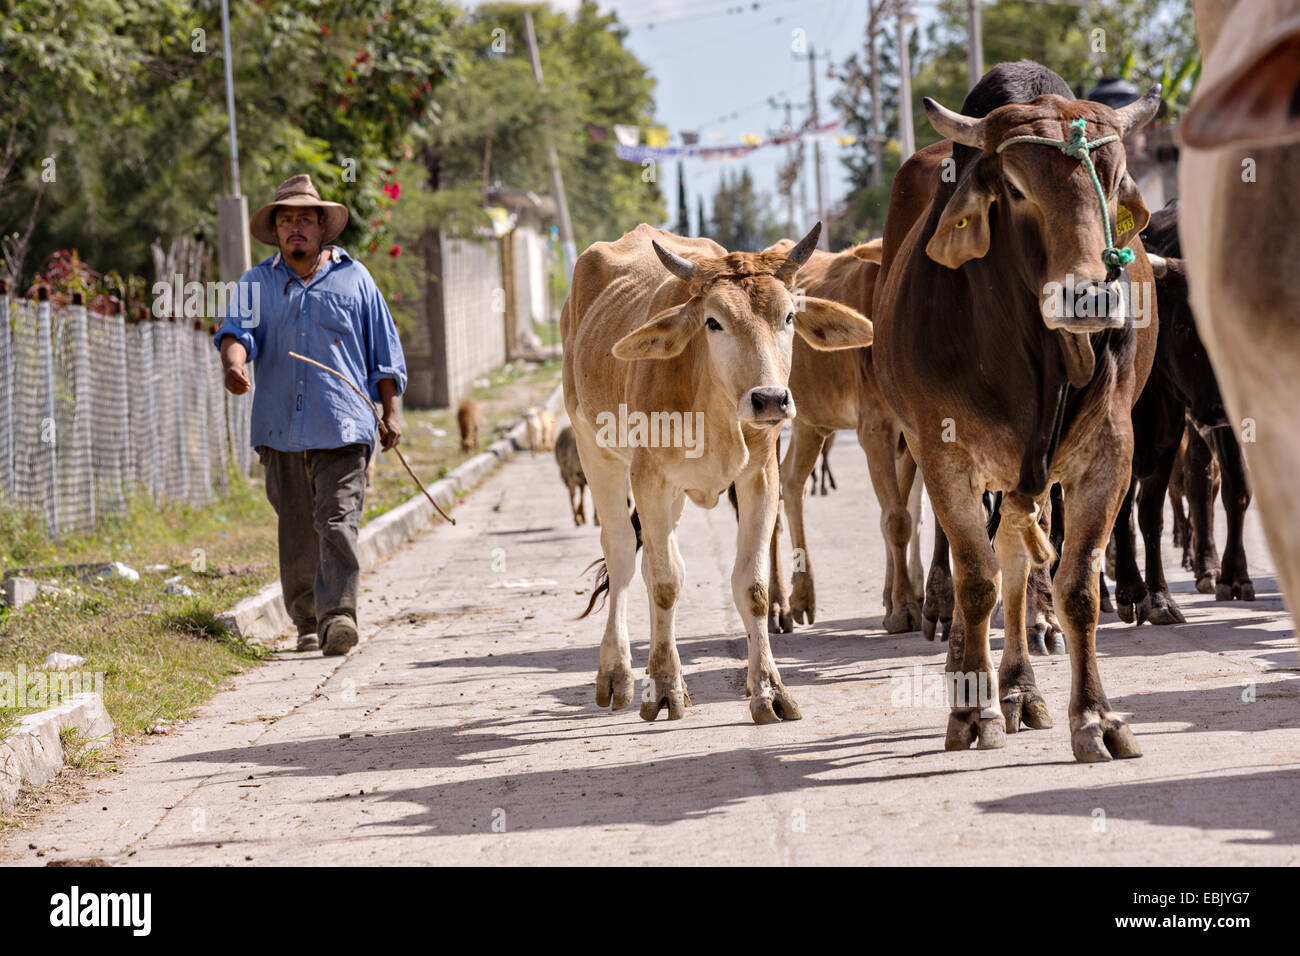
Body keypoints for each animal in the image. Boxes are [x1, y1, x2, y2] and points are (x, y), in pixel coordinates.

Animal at [562, 223, 873, 723]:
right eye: (713, 322)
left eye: (789, 316)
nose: (769, 399)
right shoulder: (649, 480)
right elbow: (664, 583)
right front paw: (666, 688)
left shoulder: (759, 478)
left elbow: (752, 586)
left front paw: (769, 689)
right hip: (596, 451)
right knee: (624, 556)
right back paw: (618, 674)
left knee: (654, 561)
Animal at [872, 61, 1161, 761]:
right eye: (1017, 189)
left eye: (1112, 176)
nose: (1090, 296)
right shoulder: (943, 450)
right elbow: (975, 578)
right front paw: (972, 711)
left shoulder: (1109, 451)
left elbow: (1075, 585)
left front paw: (1096, 717)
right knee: (974, 568)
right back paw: (971, 677)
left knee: (1014, 560)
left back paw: (1020, 689)